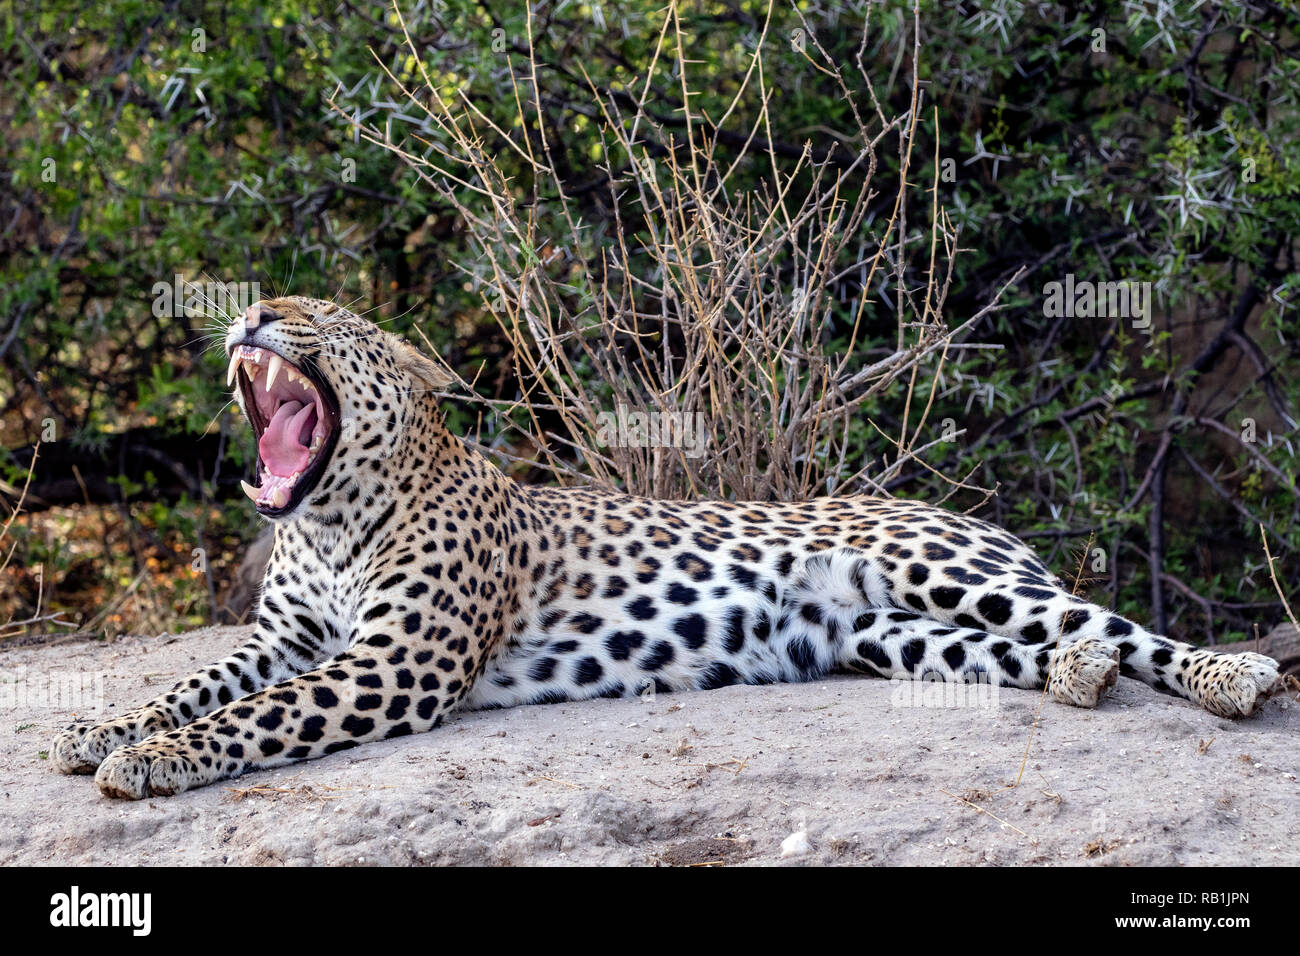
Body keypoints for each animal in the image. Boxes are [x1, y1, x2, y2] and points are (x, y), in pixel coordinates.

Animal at [51, 296, 1286, 799]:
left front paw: (151, 759)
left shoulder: (390, 661)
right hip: (885, 633)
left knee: (1124, 627)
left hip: (947, 569)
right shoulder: (287, 637)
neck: (324, 516)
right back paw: (1078, 676)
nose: (253, 312)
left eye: (323, 321)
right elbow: (200, 680)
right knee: (1050, 647)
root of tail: (962, 512)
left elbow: (252, 713)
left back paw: (1233, 677)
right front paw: (101, 725)